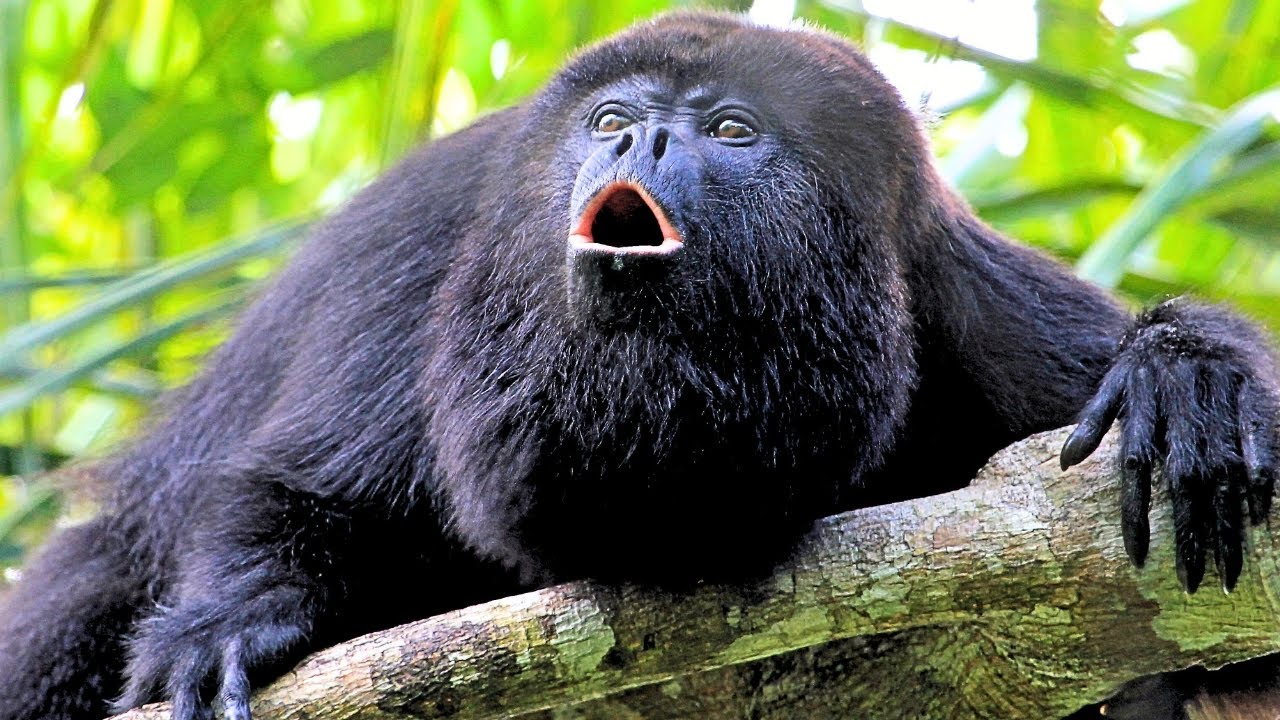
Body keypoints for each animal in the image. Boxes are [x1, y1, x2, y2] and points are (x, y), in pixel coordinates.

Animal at [0, 12, 1276, 720]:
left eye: (730, 130)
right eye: (612, 119)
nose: (647, 136)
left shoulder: (959, 297)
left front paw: (1184, 376)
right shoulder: (433, 250)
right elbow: (304, 488)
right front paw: (236, 617)